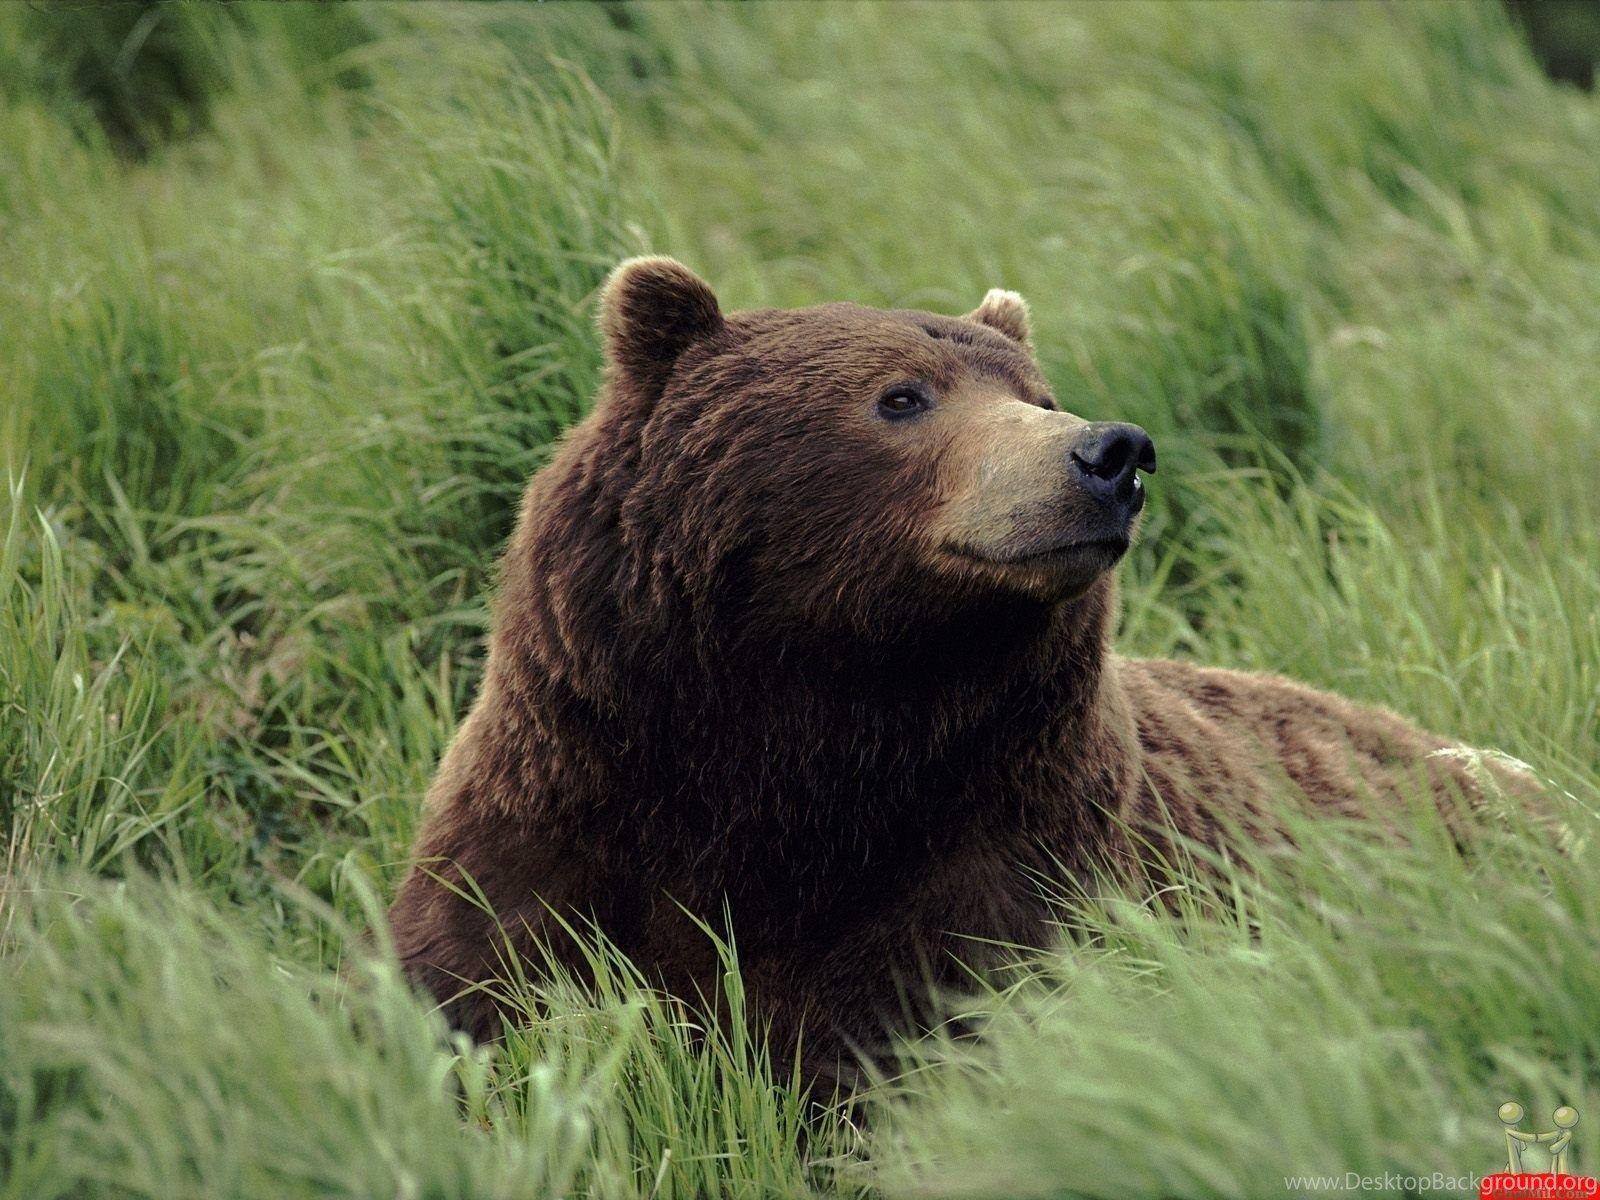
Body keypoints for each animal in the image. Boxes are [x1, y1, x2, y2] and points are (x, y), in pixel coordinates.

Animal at [386, 257, 1520, 1089]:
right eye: (901, 396)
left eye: (1038, 394)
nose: (1111, 452)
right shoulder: (571, 795)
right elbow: (483, 984)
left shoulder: (997, 841)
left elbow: (927, 1024)